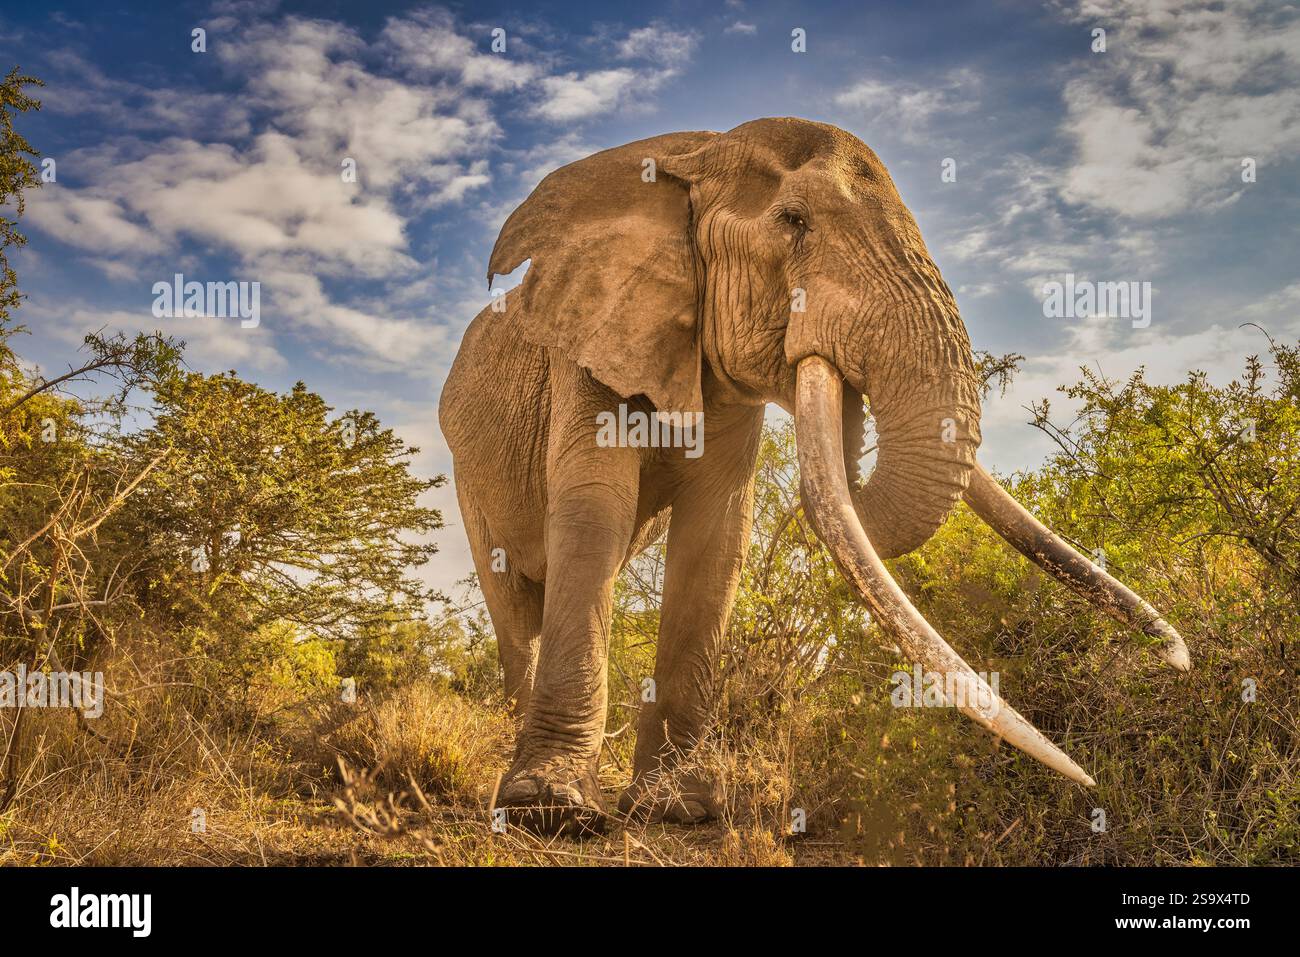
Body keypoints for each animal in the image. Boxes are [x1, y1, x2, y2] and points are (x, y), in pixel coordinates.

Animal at [439, 117, 1189, 835]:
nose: (1178, 660)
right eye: (794, 220)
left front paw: (680, 807)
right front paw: (551, 810)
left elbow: (716, 534)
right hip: (466, 472)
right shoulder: (594, 335)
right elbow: (596, 510)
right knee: (513, 599)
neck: (694, 152)